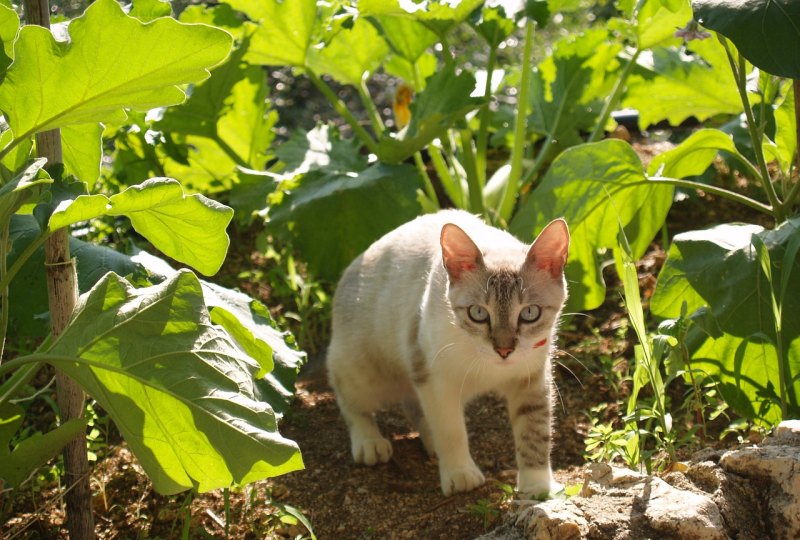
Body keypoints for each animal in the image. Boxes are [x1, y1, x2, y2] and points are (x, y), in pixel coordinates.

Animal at [324, 209, 568, 496]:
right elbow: (451, 431)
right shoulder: (435, 379)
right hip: (364, 370)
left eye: (530, 313)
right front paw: (460, 474)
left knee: (413, 405)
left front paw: (537, 487)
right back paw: (369, 441)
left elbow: (535, 432)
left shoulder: (532, 378)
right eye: (478, 313)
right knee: (350, 399)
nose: (504, 350)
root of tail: (349, 270)